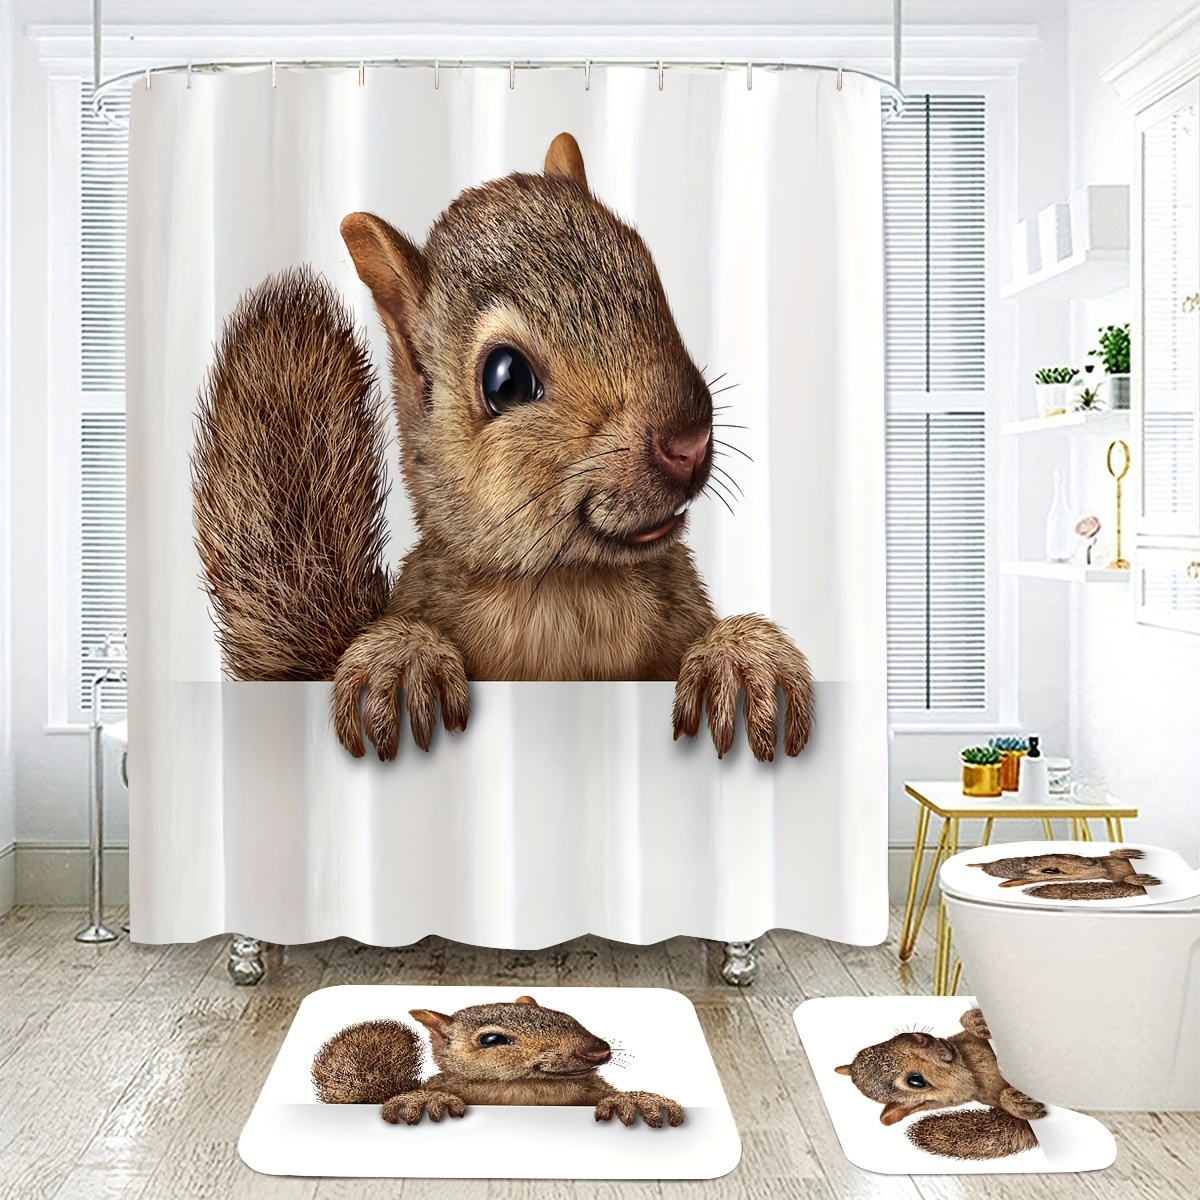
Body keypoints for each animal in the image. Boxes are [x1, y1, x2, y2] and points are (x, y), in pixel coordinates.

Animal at [192, 131, 814, 764]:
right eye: (505, 380)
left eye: (651, 278)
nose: (687, 440)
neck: (573, 592)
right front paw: (402, 659)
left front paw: (739, 659)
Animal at [310, 994, 684, 1129]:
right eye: (491, 1040)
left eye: (564, 1015)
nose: (598, 1050)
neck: (526, 1091)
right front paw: (425, 1099)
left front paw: (636, 1101)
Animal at [835, 1007, 1047, 1160]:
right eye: (916, 1081)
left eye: (894, 1037)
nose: (921, 1039)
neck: (968, 1062)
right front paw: (1016, 1102)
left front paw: (976, 1021)